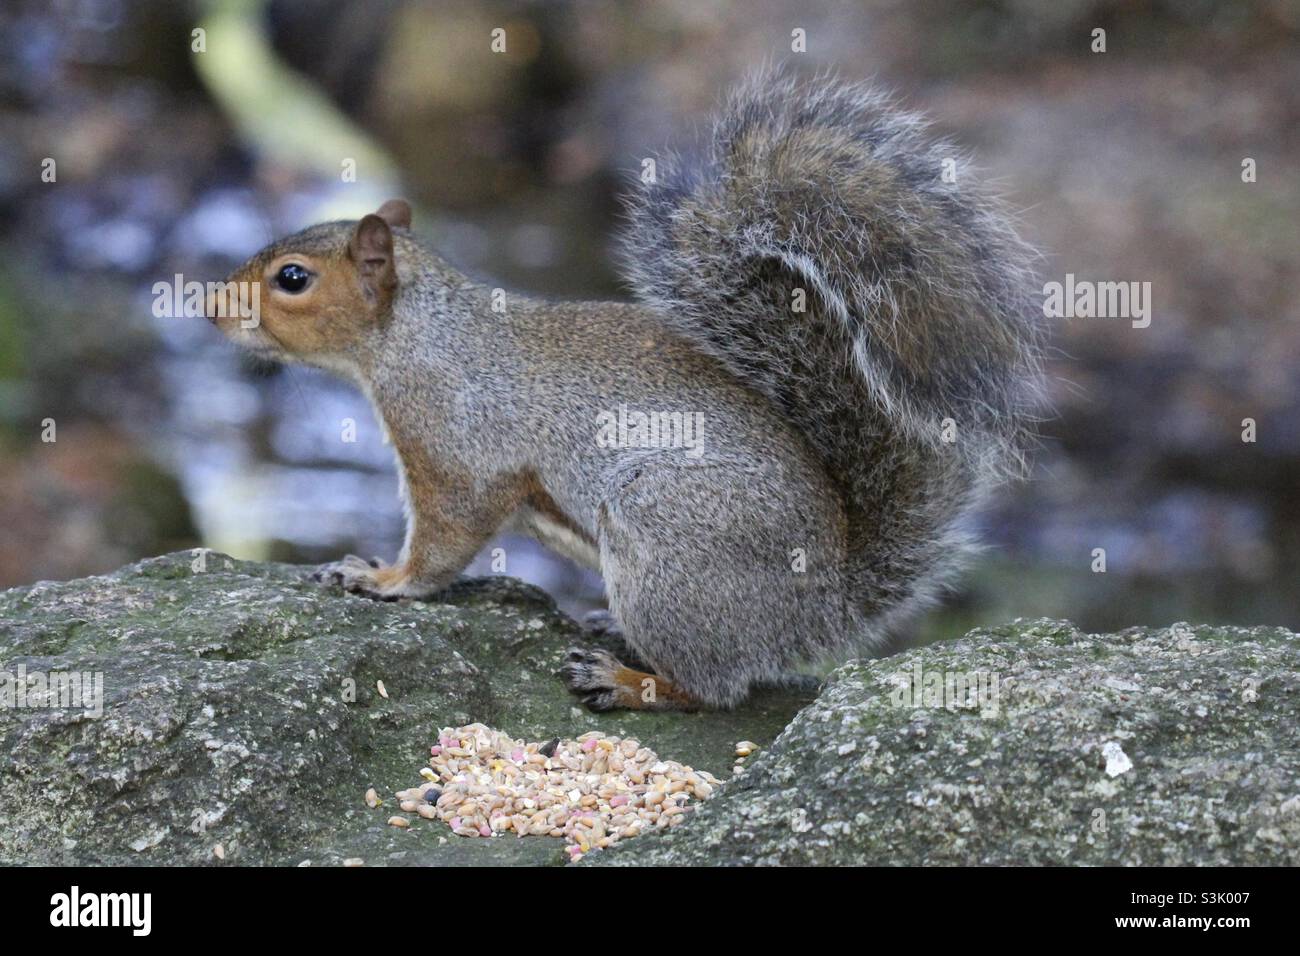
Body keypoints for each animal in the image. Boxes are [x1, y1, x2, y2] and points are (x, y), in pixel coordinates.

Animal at [208, 68, 1044, 712]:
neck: (418, 335)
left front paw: (381, 578)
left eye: (292, 279)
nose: (210, 306)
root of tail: (822, 607)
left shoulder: (456, 448)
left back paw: (626, 679)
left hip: (664, 538)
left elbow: (446, 540)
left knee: (714, 689)